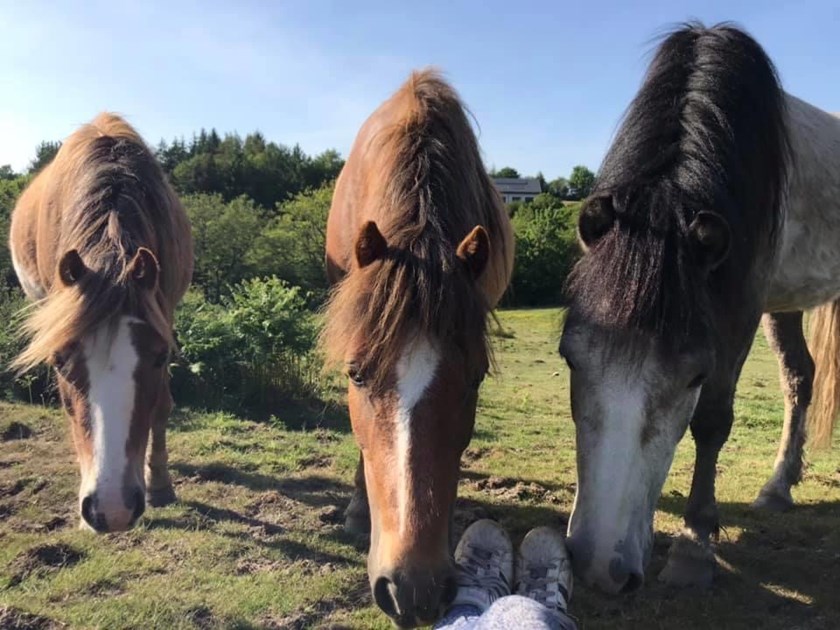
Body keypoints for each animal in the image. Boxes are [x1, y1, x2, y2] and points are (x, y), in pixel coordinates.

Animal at [9, 113, 193, 533]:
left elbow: (161, 404)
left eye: (159, 357)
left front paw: (160, 483)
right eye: (59, 361)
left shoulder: (164, 312)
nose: (112, 509)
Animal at [559, 22, 840, 594]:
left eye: (694, 375)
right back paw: (778, 487)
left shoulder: (739, 310)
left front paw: (694, 547)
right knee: (800, 377)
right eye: (569, 357)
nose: (599, 567)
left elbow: (711, 421)